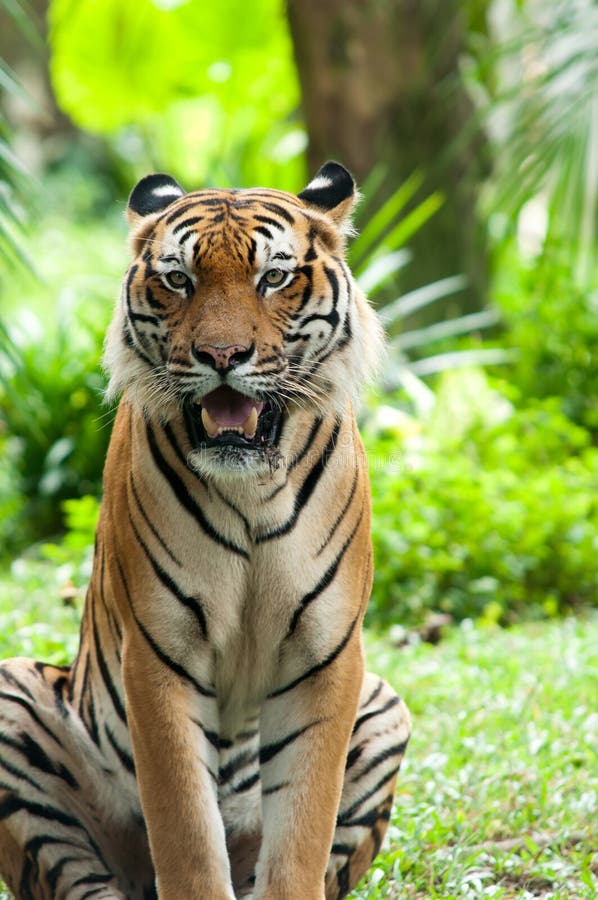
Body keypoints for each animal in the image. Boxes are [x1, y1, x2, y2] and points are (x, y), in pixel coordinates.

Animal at [0, 161, 411, 900]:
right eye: (177, 280)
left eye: (273, 277)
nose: (222, 354)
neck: (251, 491)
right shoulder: (159, 656)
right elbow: (188, 837)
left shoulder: (326, 659)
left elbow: (302, 836)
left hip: (385, 707)